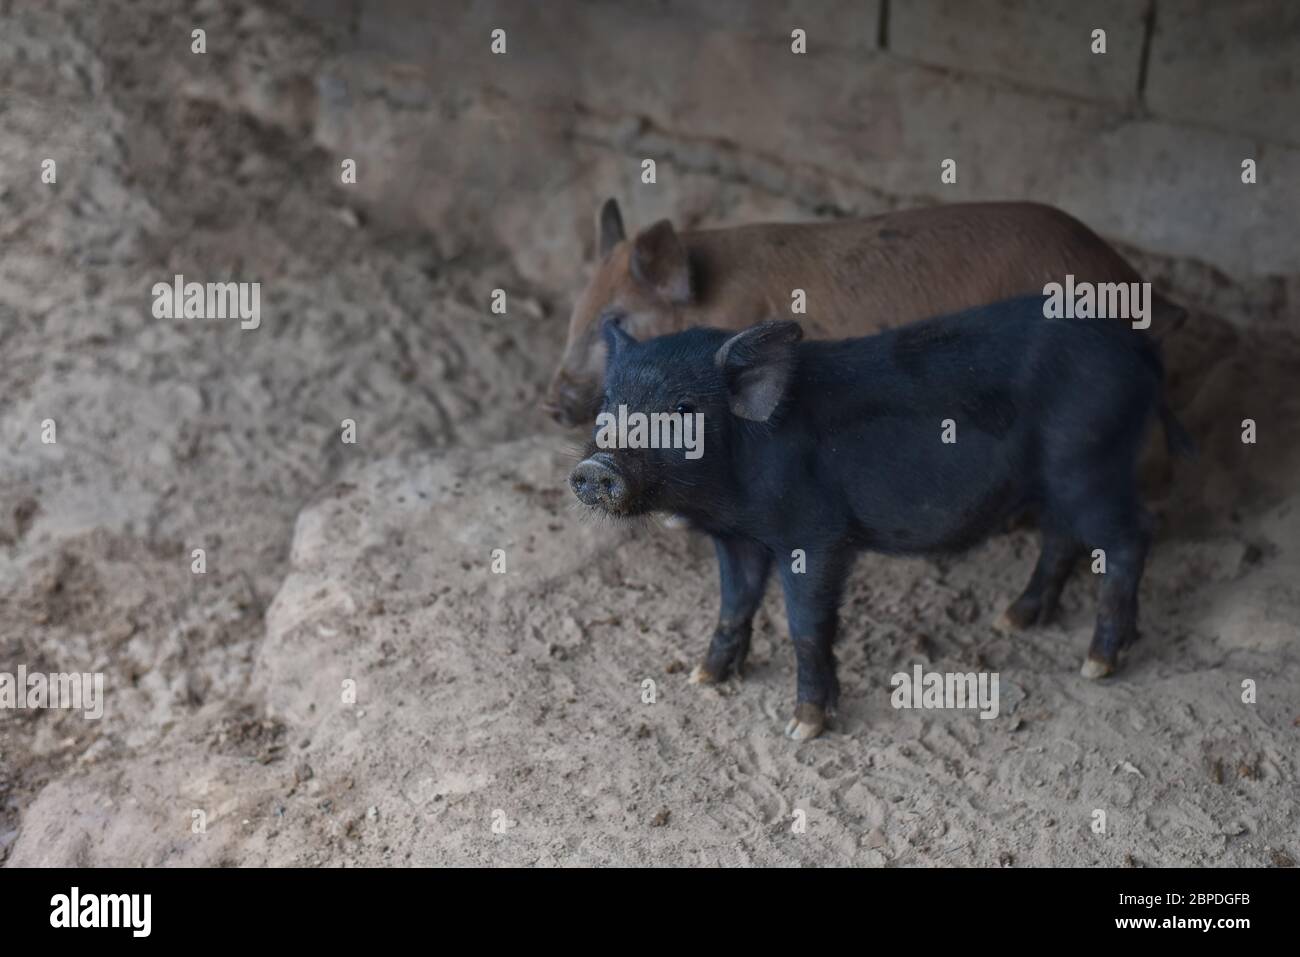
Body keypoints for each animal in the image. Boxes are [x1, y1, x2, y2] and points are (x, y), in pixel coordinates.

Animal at [568, 295, 1192, 741]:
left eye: (683, 411)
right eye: (609, 404)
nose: (597, 467)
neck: (726, 496)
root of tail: (1141, 350)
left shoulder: (817, 533)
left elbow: (806, 624)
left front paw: (803, 727)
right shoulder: (738, 538)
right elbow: (734, 604)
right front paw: (705, 678)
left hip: (1089, 463)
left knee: (1133, 535)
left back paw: (1096, 664)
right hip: (1060, 478)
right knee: (1063, 535)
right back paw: (1012, 620)